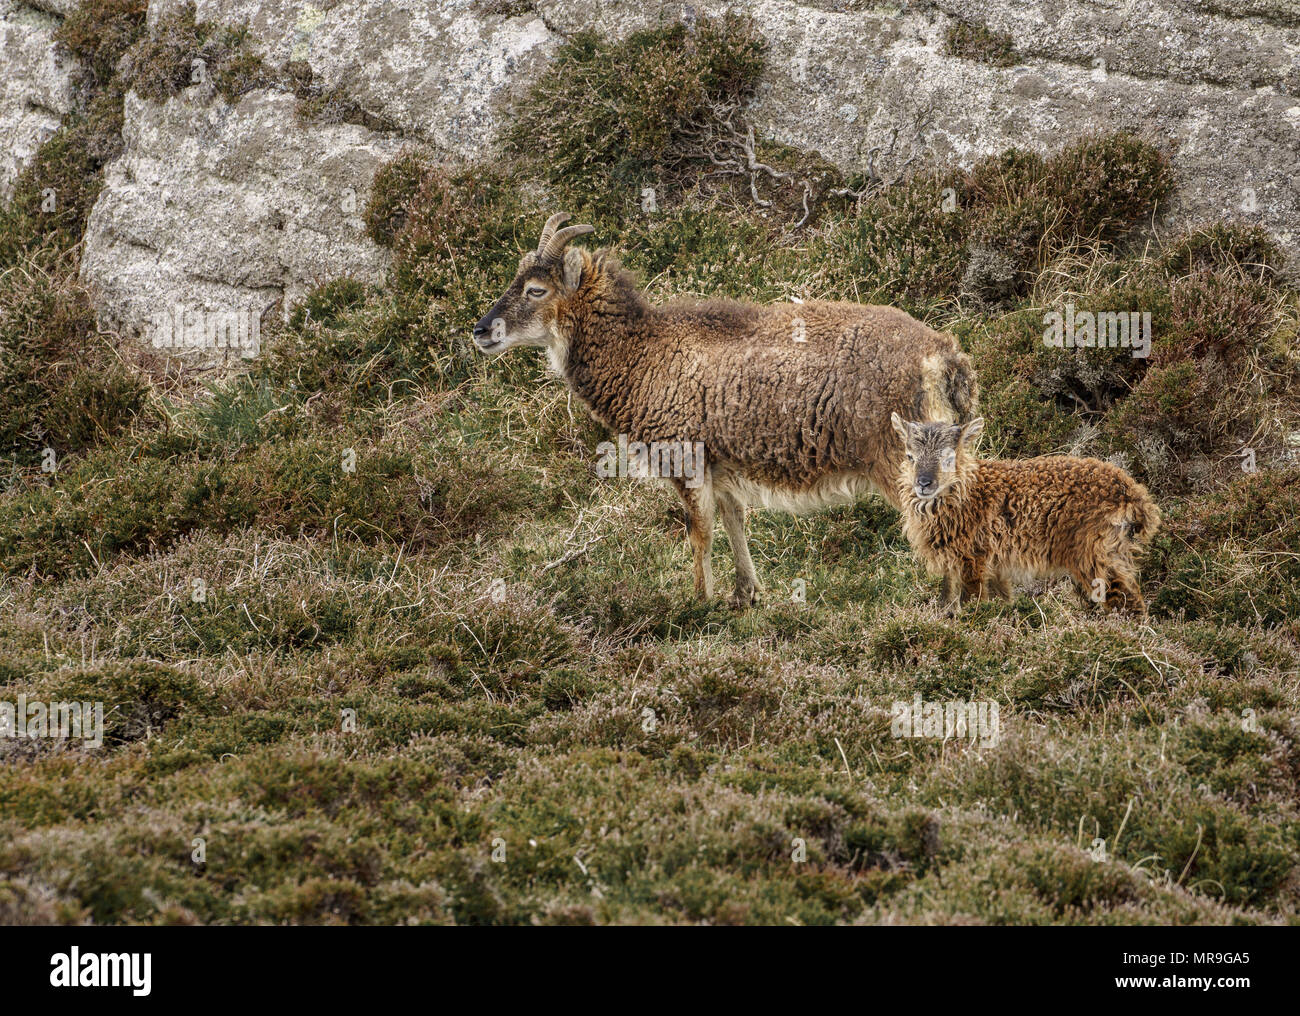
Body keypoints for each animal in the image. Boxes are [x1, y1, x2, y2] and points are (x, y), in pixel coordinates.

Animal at [472, 213, 978, 608]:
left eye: (536, 290)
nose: (481, 330)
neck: (644, 356)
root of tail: (944, 357)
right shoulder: (723, 467)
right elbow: (734, 522)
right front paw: (744, 594)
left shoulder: (687, 459)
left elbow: (701, 532)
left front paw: (700, 602)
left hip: (904, 460)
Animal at [890, 413, 1161, 615]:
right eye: (910, 456)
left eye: (949, 458)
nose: (923, 483)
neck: (969, 493)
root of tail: (1134, 497)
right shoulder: (996, 567)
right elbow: (1002, 601)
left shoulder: (973, 560)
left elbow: (972, 603)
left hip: (1096, 553)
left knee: (1126, 602)